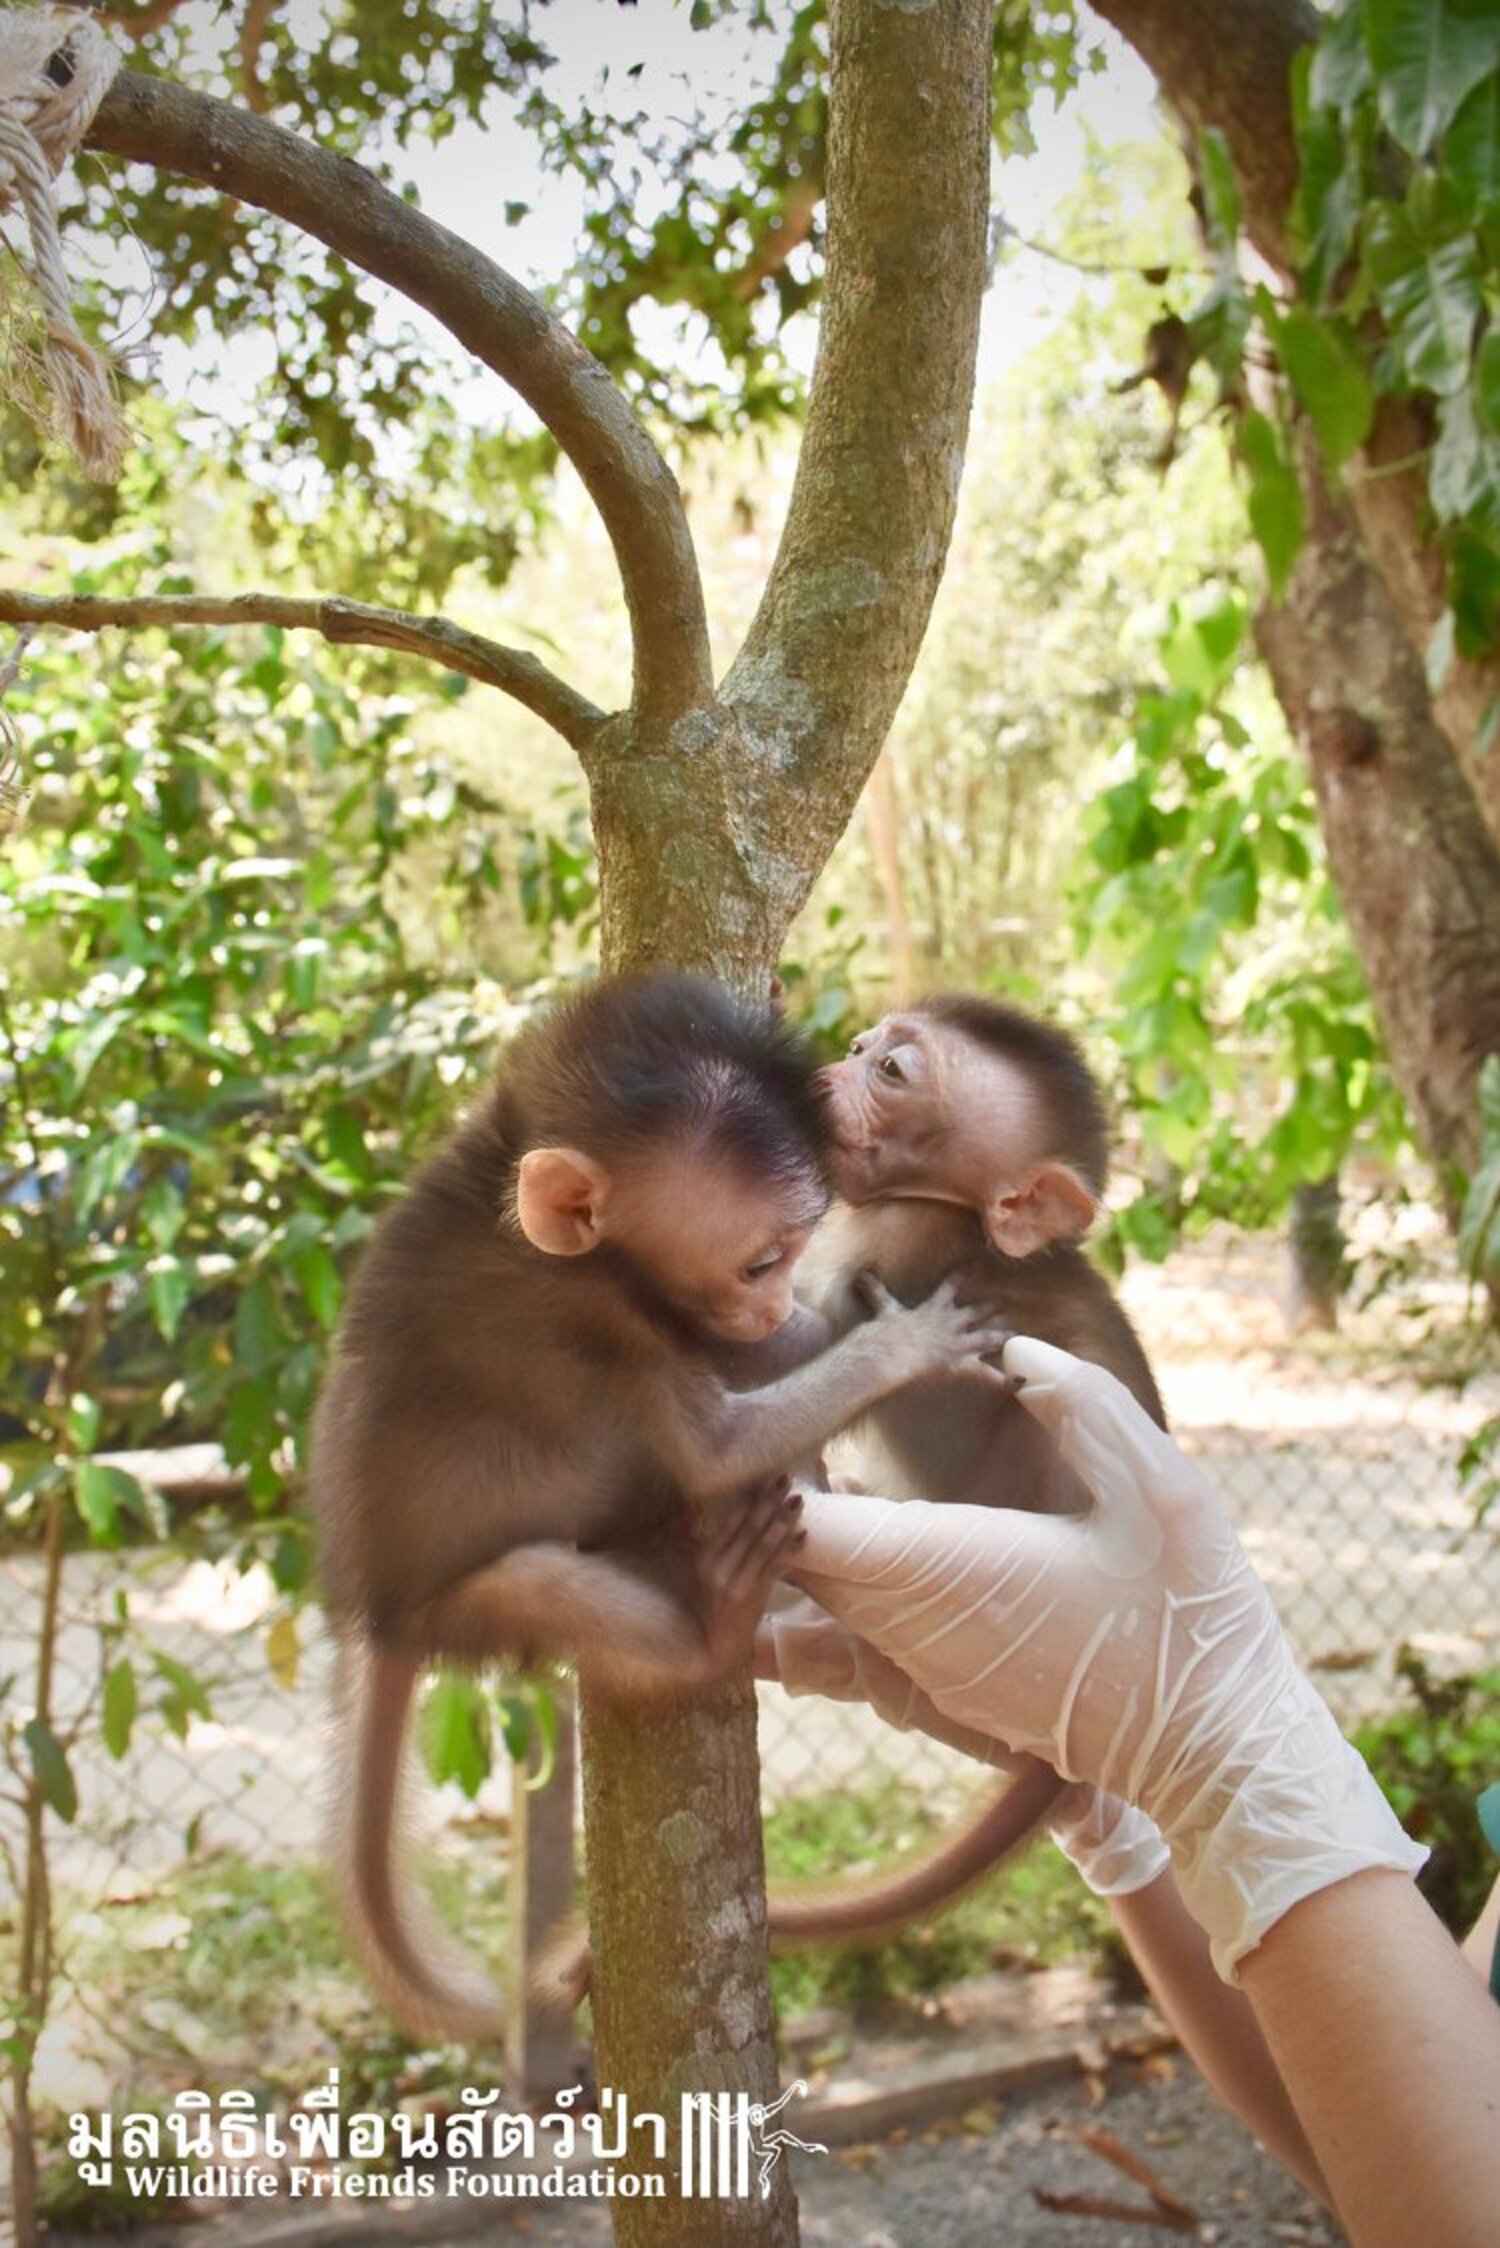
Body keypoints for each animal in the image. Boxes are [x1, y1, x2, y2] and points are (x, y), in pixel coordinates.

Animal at [311, 973, 1015, 2041]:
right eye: (762, 1260)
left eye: (790, 1254)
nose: (775, 1307)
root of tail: (377, 1608)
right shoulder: (606, 1324)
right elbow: (715, 1447)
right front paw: (903, 1347)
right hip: (461, 1605)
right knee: (540, 1579)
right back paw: (712, 1628)